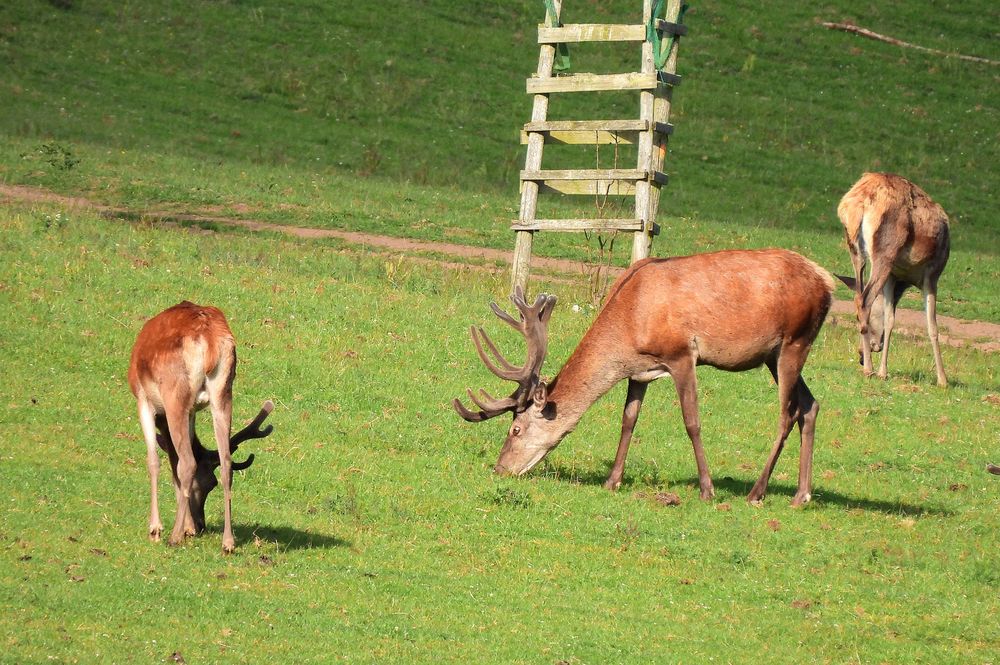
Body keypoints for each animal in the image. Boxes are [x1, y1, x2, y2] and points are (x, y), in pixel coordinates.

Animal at [128, 301, 267, 553]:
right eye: (209, 484)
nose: (201, 525)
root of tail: (208, 339)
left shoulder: (143, 399)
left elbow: (155, 461)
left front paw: (157, 529)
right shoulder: (192, 411)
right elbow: (174, 462)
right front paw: (188, 527)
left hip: (175, 395)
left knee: (187, 462)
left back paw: (173, 537)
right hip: (223, 392)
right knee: (225, 462)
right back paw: (228, 543)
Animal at [454, 249, 834, 506]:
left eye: (515, 429)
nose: (499, 468)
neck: (630, 321)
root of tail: (827, 282)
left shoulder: (681, 354)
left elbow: (692, 421)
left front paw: (707, 488)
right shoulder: (639, 370)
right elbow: (628, 420)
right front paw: (612, 481)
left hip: (795, 339)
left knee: (788, 412)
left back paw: (757, 492)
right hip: (775, 353)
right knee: (810, 405)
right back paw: (802, 494)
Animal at [836, 172, 950, 386]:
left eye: (854, 318)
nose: (860, 355)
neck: (905, 281)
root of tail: (858, 202)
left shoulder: (893, 277)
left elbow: (890, 320)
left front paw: (884, 371)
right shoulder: (932, 274)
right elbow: (932, 325)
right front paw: (942, 379)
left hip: (855, 251)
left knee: (858, 295)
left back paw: (870, 367)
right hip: (884, 252)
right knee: (865, 300)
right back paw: (868, 369)